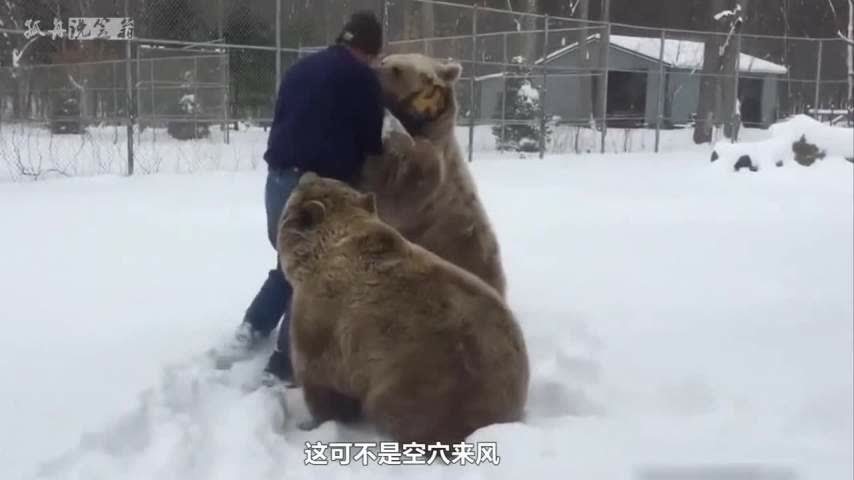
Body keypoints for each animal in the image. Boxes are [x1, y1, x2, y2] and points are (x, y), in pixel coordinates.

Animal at [276, 172, 530, 446]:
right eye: (326, 179)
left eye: (303, 187)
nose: (306, 173)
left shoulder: (324, 319)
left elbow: (320, 378)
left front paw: (312, 422)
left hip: (425, 381)